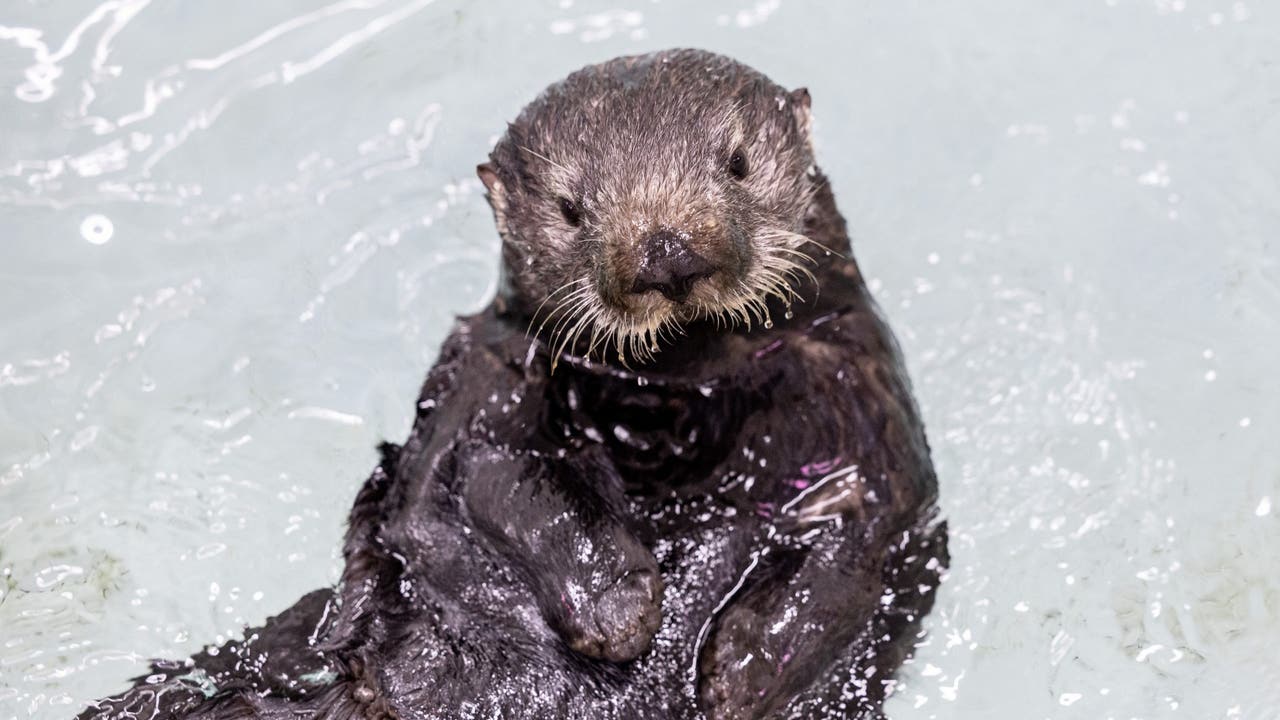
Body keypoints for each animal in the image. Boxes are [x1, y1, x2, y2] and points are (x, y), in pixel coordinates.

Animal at [80, 49, 946, 720]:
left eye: (736, 162)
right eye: (570, 207)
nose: (666, 253)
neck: (675, 399)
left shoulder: (860, 403)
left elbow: (855, 537)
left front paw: (741, 672)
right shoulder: (490, 387)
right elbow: (516, 485)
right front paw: (619, 609)